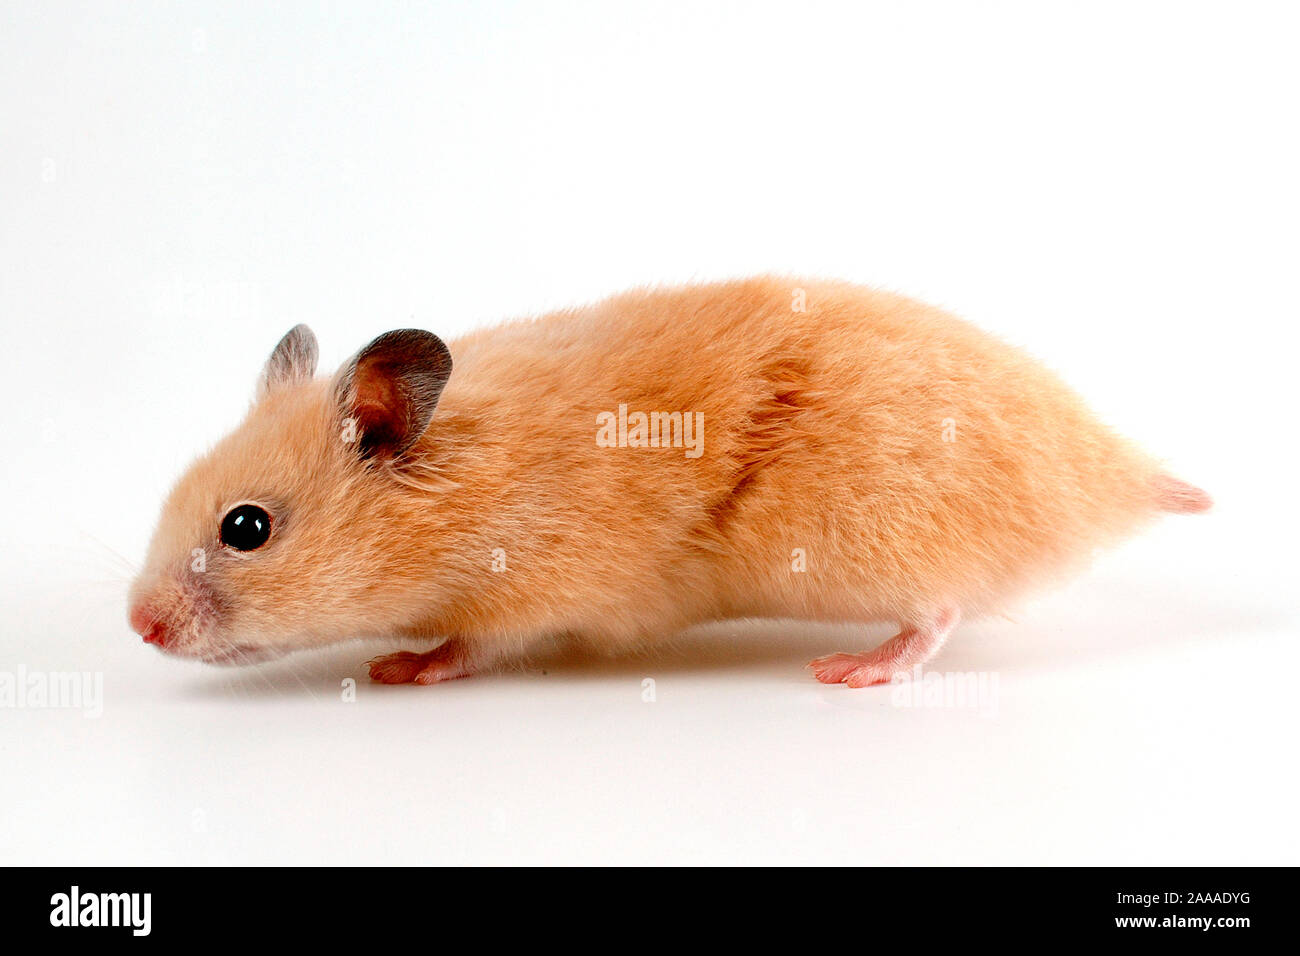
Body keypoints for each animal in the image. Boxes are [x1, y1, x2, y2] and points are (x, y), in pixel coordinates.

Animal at [127, 277, 1210, 687]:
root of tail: (1116, 471)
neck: (465, 481)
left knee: (938, 614)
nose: (137, 628)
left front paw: (399, 667)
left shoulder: (530, 595)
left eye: (246, 528)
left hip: (894, 546)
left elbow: (470, 644)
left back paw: (855, 669)